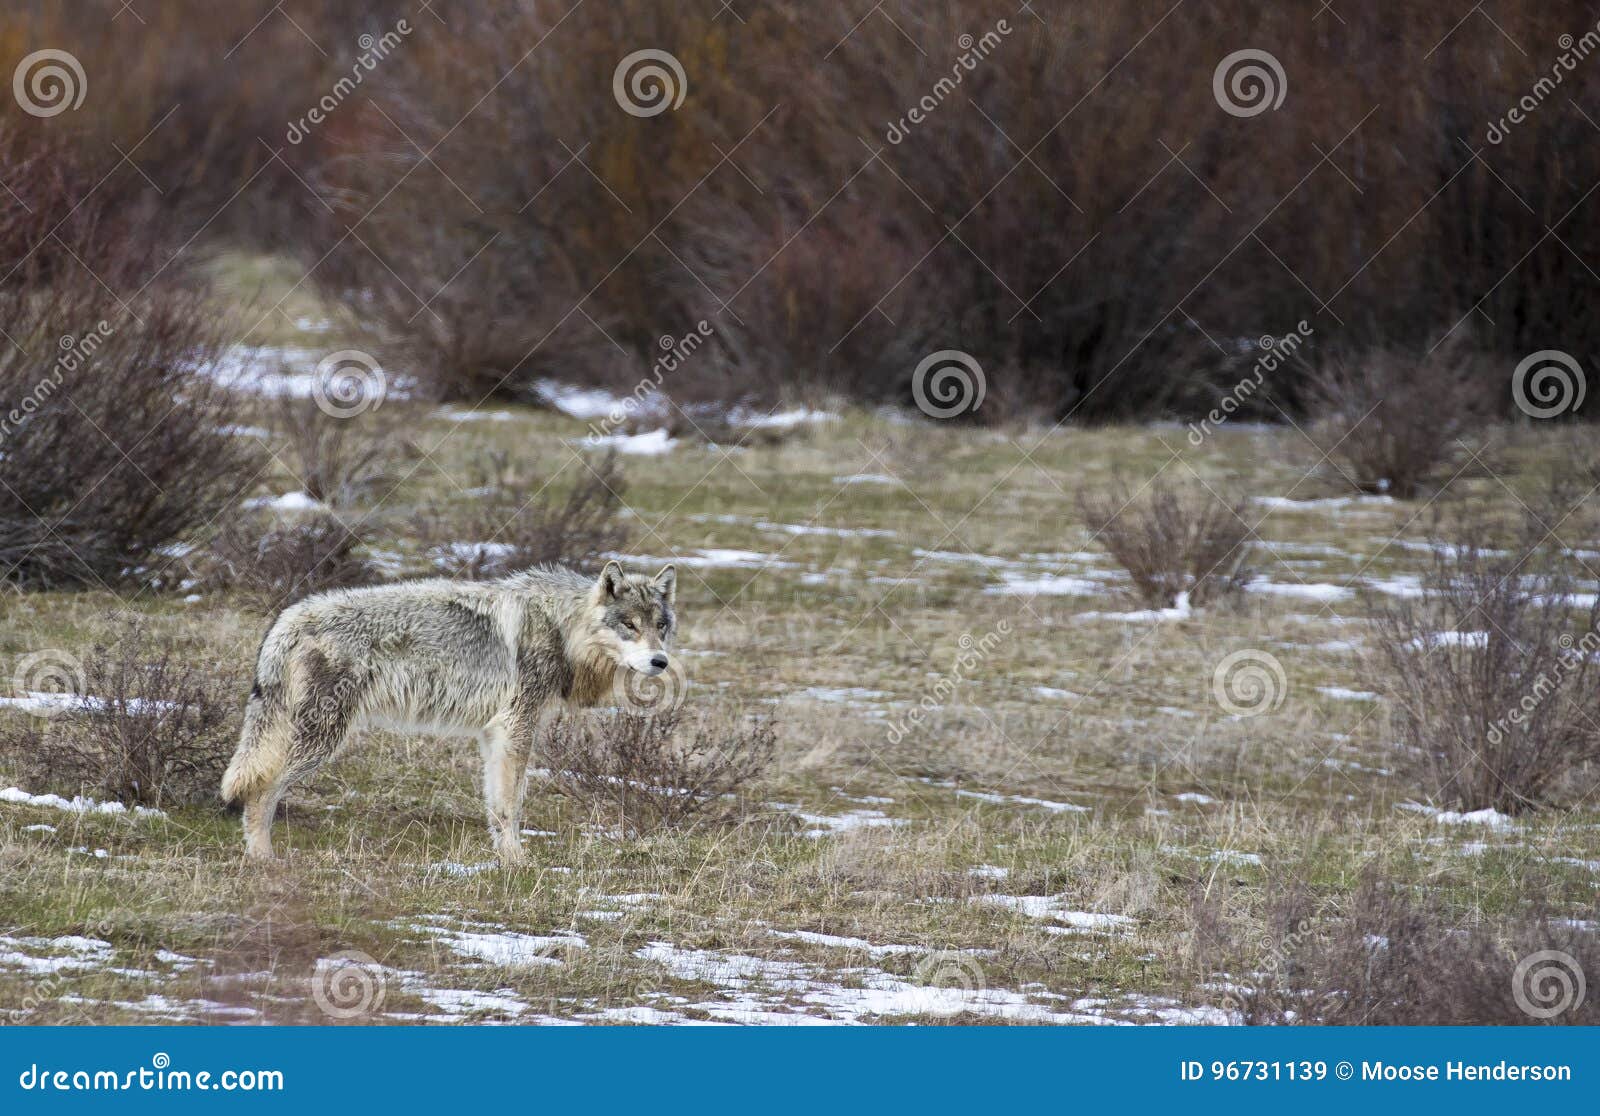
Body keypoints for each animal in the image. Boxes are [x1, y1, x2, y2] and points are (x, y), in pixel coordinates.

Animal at [220, 560, 677, 863]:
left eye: (661, 626)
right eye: (629, 625)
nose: (660, 662)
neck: (562, 628)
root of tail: (288, 618)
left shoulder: (495, 734)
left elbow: (497, 805)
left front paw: (504, 858)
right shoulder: (517, 727)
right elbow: (511, 805)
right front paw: (519, 863)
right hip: (322, 739)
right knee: (260, 793)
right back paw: (263, 858)